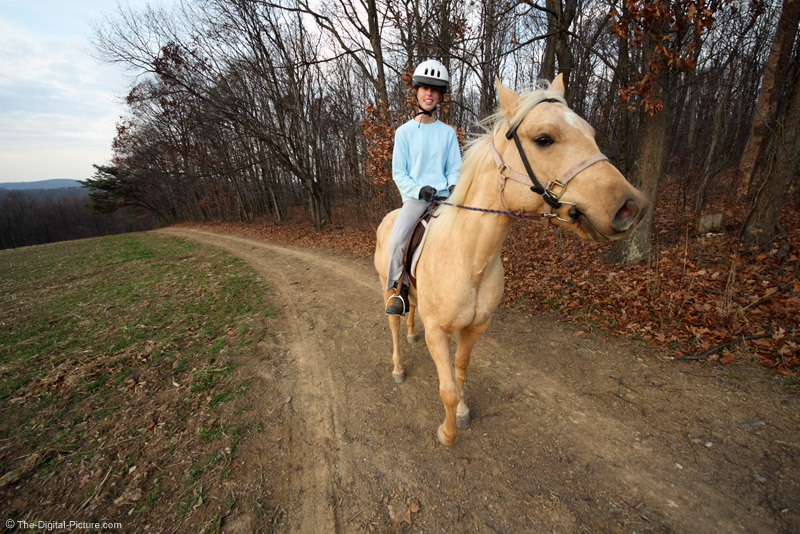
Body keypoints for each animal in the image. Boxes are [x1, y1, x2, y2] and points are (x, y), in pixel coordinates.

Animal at [374, 75, 649, 446]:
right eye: (544, 139)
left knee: (411, 310)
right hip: (387, 289)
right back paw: (399, 368)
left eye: (590, 133)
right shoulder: (437, 331)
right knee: (393, 323)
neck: (469, 257)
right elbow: (447, 388)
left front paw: (462, 413)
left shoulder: (475, 327)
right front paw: (447, 434)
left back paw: (411, 336)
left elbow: (460, 371)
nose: (631, 207)